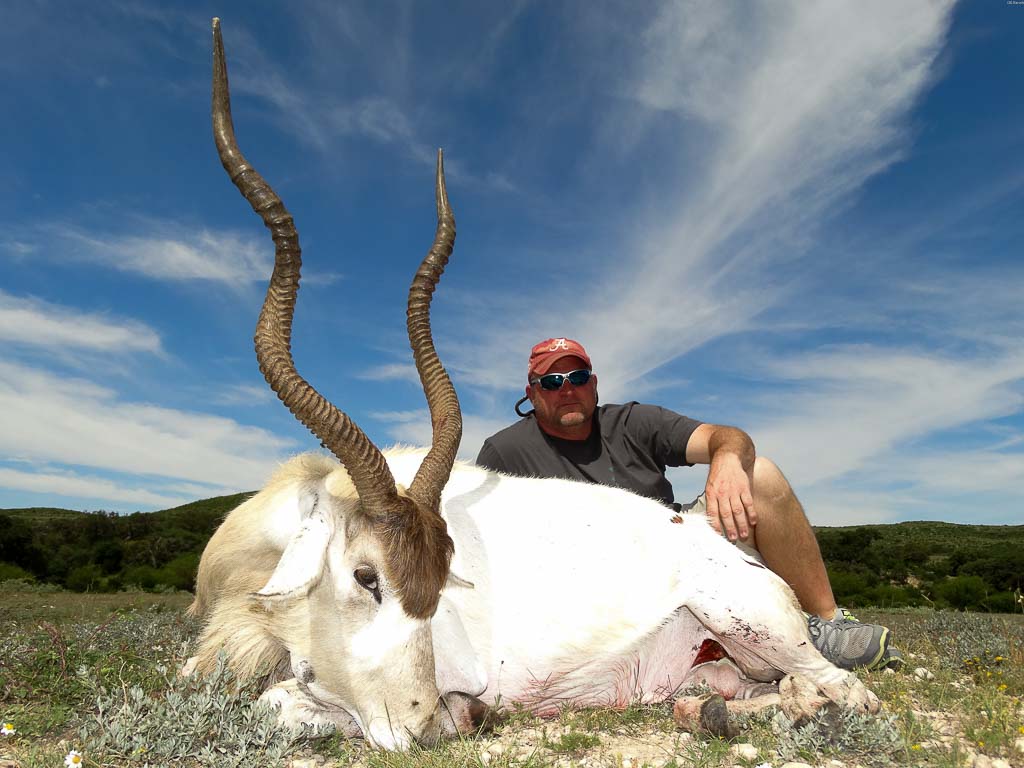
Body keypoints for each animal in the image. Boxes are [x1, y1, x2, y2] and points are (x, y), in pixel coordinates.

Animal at [185, 19, 880, 751]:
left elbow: (282, 703)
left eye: (439, 578)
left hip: (746, 616)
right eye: (365, 576)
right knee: (782, 691)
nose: (427, 727)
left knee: (844, 690)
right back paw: (705, 711)